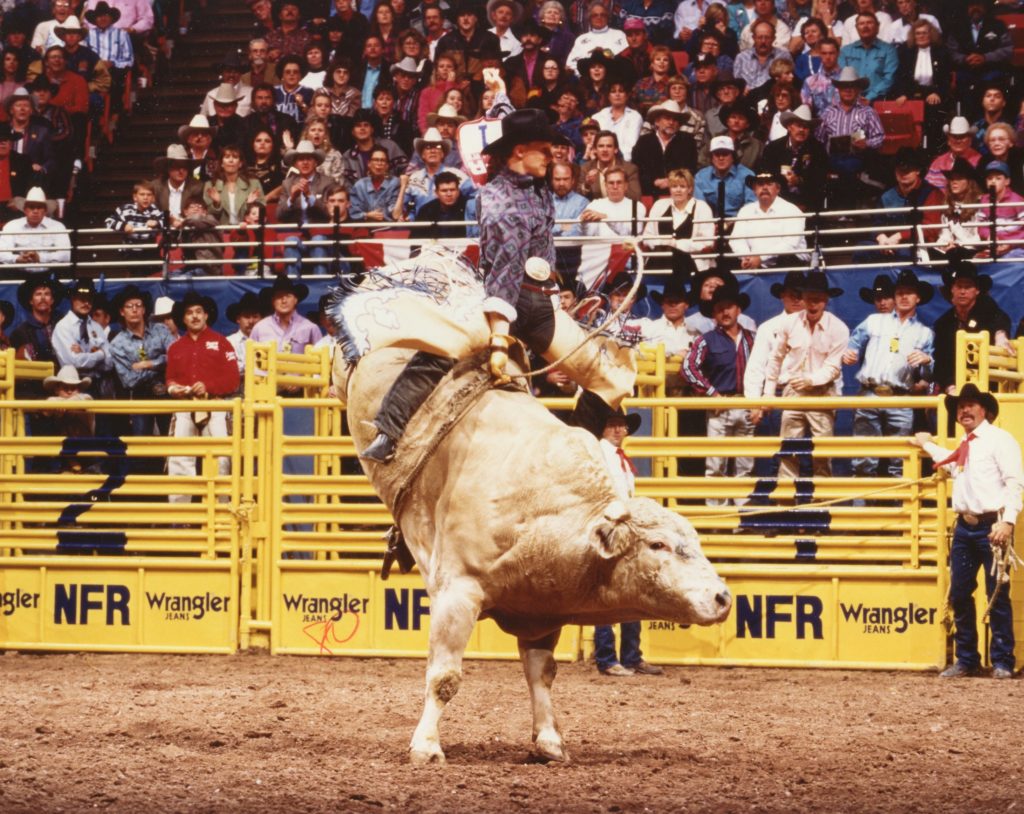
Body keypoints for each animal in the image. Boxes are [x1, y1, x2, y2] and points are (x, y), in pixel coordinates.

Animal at [341, 346, 732, 765]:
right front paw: (426, 746)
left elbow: (541, 674)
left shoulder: (542, 612)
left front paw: (548, 741)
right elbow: (445, 678)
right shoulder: (457, 594)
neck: (541, 514)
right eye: (657, 545)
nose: (723, 597)